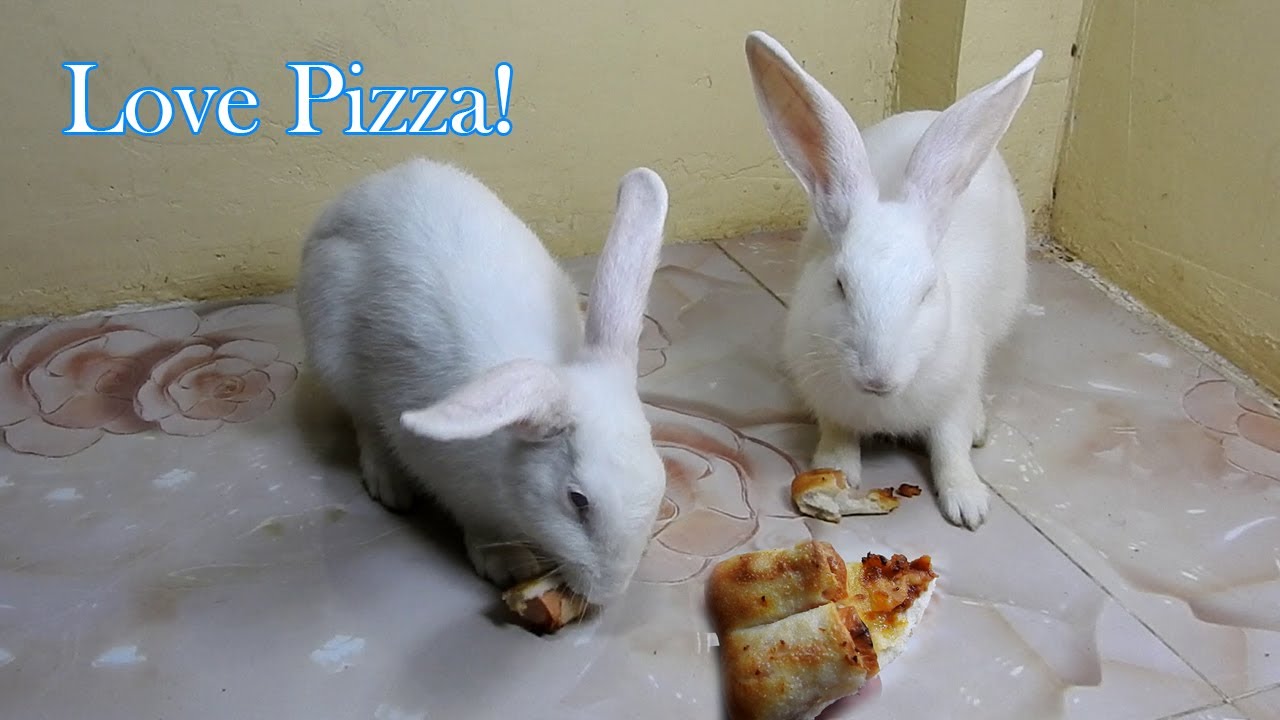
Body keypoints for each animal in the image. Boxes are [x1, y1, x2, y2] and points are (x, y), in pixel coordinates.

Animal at [295, 157, 671, 606]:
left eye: (660, 479)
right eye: (577, 500)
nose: (609, 592)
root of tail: (358, 194)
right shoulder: (451, 480)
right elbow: (480, 526)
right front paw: (509, 565)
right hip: (333, 350)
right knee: (364, 422)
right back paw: (389, 485)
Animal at [743, 31, 1043, 530]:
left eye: (927, 291)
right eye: (840, 285)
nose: (878, 377)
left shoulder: (953, 396)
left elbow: (950, 448)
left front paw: (968, 505)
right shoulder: (830, 403)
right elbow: (839, 436)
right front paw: (837, 473)